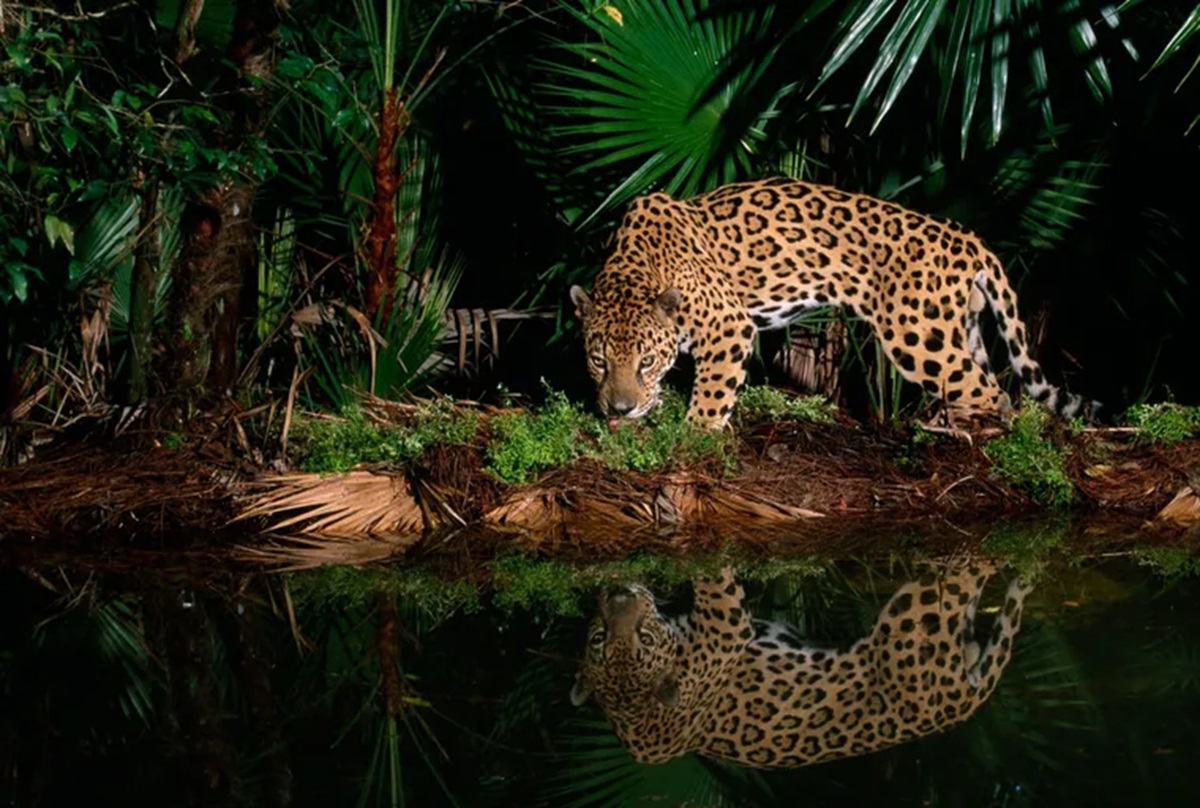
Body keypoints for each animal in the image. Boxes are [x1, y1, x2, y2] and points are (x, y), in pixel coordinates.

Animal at [569, 176, 1100, 428]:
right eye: (597, 360)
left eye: (646, 361)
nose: (618, 410)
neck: (638, 264)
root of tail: (965, 237)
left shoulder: (728, 325)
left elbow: (713, 391)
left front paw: (695, 433)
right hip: (957, 327)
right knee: (994, 386)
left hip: (919, 339)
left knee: (994, 393)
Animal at [569, 560, 1033, 768]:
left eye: (599, 638)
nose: (620, 595)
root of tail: (958, 704)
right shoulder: (727, 627)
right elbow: (713, 576)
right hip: (913, 617)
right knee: (968, 572)